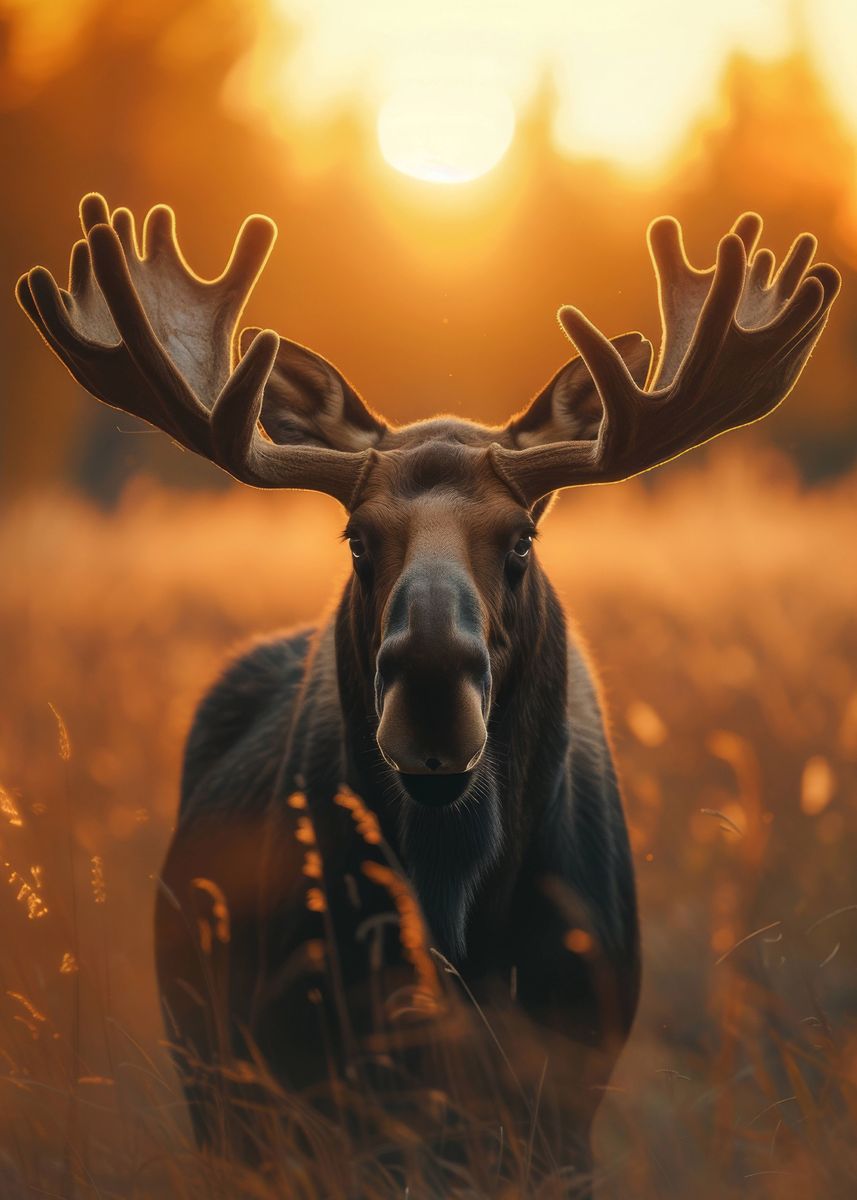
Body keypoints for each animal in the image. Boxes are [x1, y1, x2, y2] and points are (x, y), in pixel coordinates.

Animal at [17, 194, 839, 1189]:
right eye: (356, 540)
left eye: (521, 539)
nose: (433, 693)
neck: (452, 911)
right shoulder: (310, 1084)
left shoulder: (564, 1094)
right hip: (217, 1082)